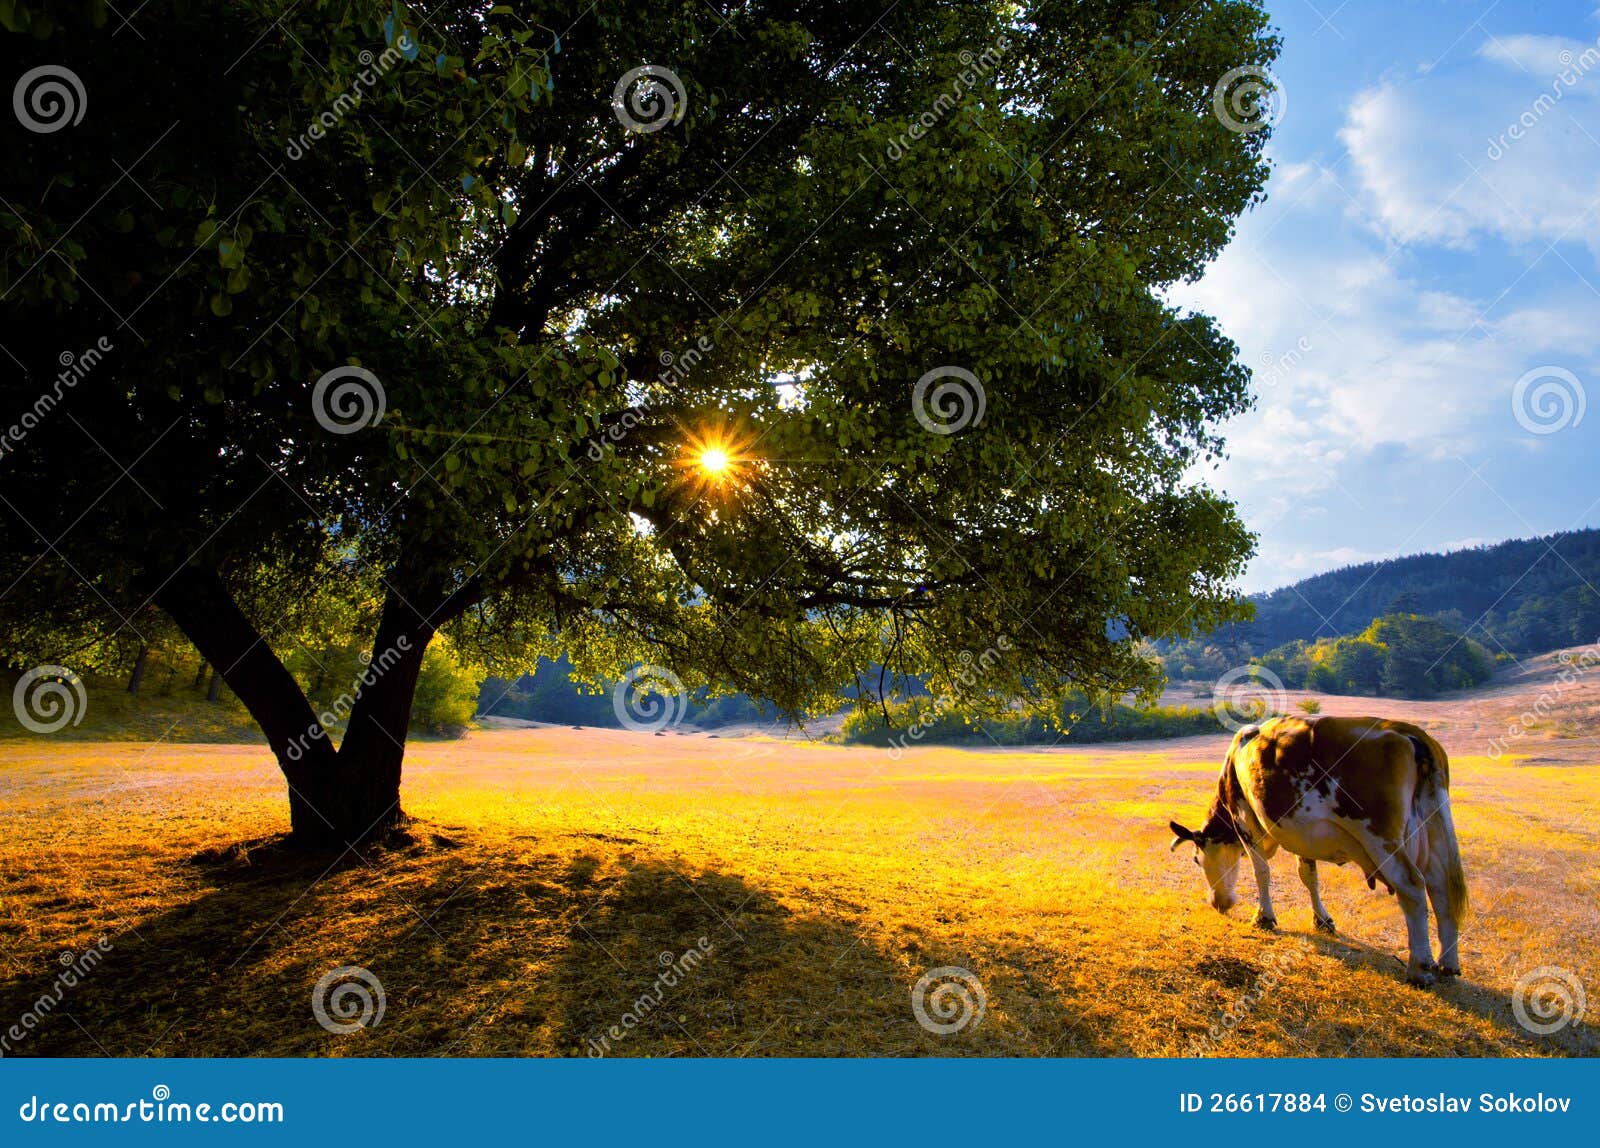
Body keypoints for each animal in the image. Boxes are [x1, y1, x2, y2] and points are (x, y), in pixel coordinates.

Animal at [1168, 715, 1468, 986]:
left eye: (1196, 860)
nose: (1217, 902)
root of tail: (1408, 733)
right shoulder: (1302, 832)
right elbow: (1308, 875)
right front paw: (1322, 919)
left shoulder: (1243, 817)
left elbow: (1261, 871)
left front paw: (1264, 916)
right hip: (1436, 829)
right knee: (1441, 889)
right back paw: (1447, 962)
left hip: (1379, 836)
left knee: (1413, 886)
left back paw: (1419, 967)